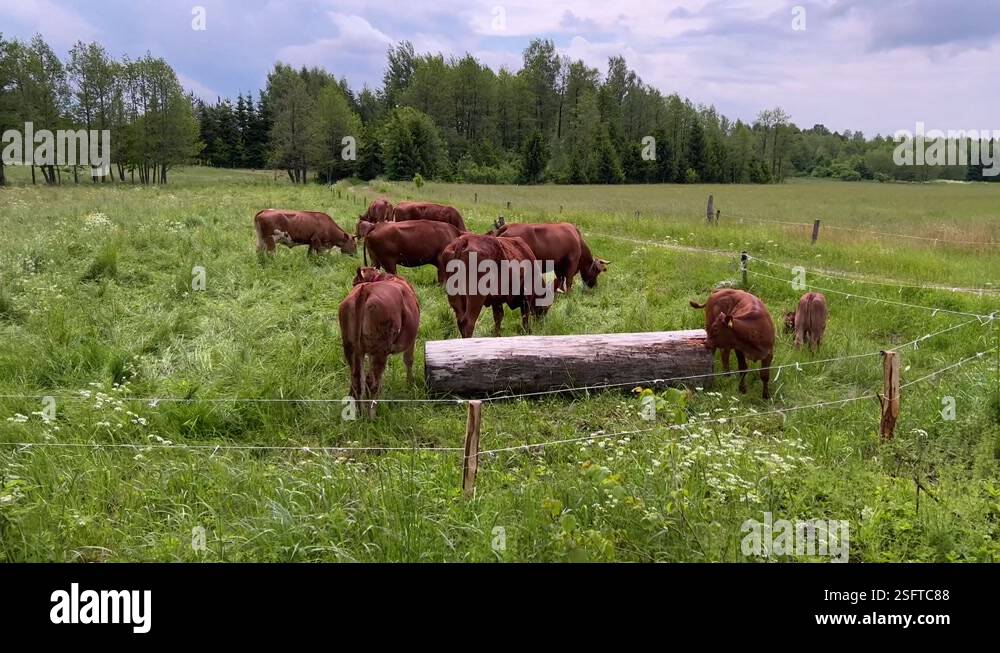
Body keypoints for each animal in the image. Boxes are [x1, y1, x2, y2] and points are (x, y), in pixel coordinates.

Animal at [338, 267, 420, 417]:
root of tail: (365, 290)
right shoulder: (411, 339)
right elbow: (409, 360)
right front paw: (410, 384)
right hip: (380, 349)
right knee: (372, 382)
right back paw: (372, 415)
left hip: (351, 347)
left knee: (357, 380)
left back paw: (358, 412)